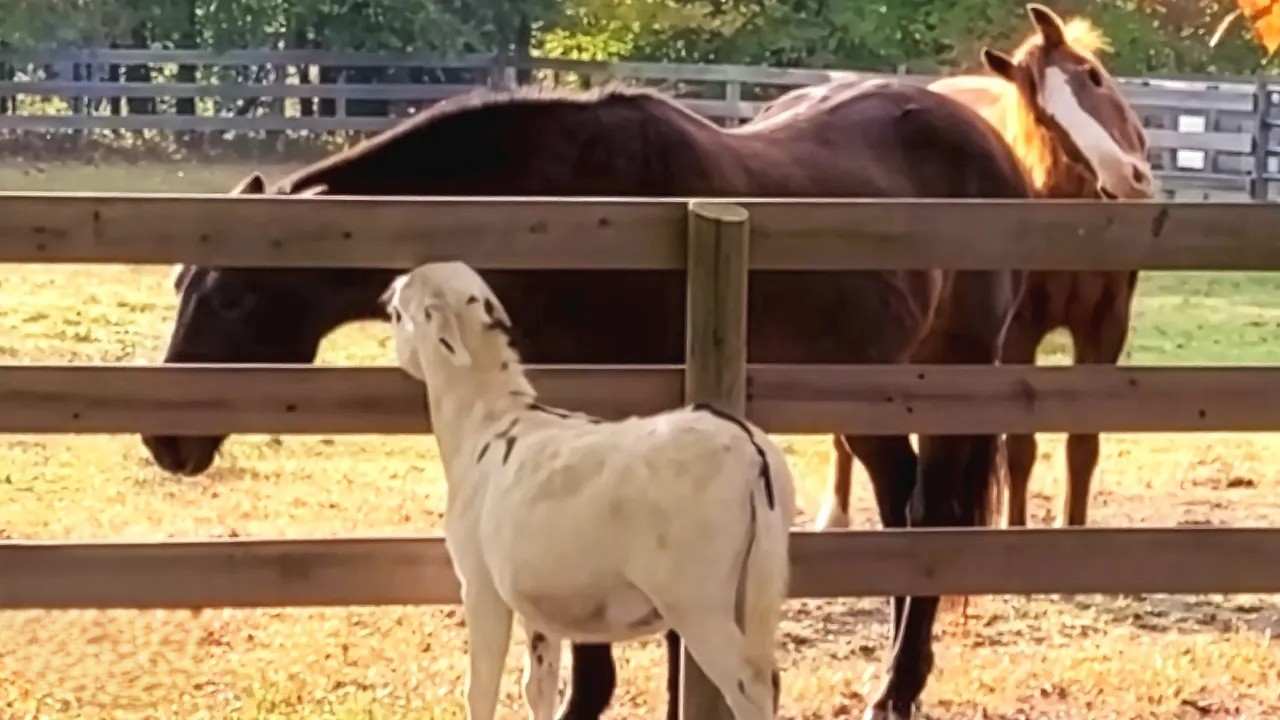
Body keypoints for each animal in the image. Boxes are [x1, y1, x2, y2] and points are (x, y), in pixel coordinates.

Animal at [140, 79, 1033, 720]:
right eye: (181, 284)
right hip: (873, 394)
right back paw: (895, 681)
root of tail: (990, 141)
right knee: (902, 507)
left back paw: (898, 686)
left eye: (232, 299)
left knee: (932, 520)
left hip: (951, 377)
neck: (561, 202)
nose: (164, 443)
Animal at [799, 4, 1153, 535]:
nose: (1125, 178)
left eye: (1092, 75)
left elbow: (1082, 445)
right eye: (1045, 117)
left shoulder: (1106, 326)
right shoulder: (1017, 337)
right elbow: (1021, 446)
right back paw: (834, 515)